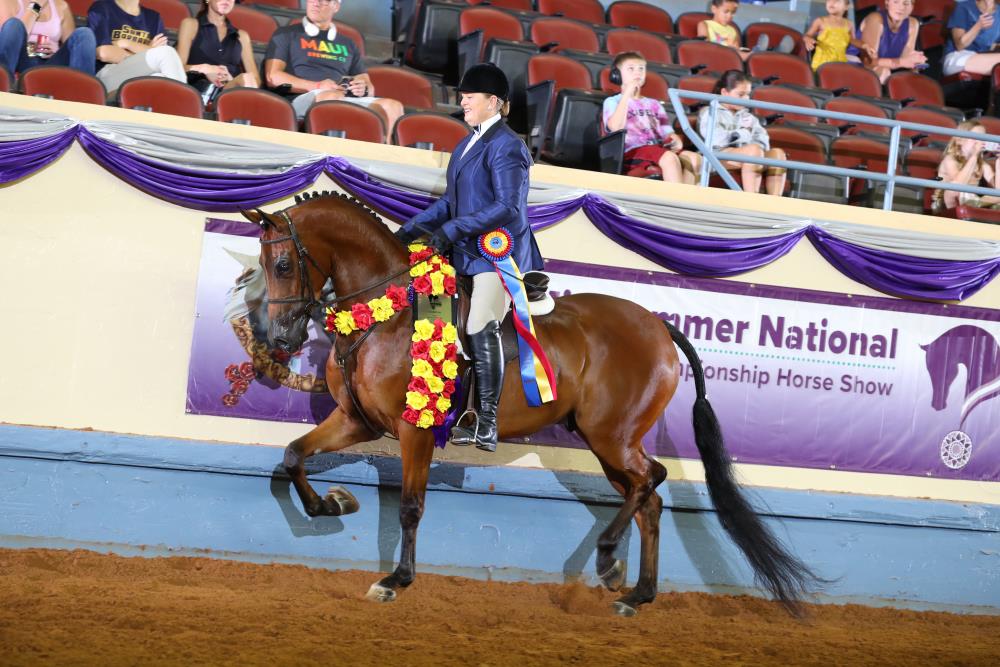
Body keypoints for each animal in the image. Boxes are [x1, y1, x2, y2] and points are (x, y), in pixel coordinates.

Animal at [241, 192, 818, 616]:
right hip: (605, 443)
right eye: (262, 267)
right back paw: (636, 594)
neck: (385, 313)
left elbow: (409, 506)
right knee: (647, 498)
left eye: (285, 263)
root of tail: (658, 325)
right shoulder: (356, 421)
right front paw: (331, 505)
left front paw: (396, 580)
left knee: (651, 480)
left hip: (611, 435)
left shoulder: (414, 431)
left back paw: (609, 563)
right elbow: (294, 455)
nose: (281, 339)